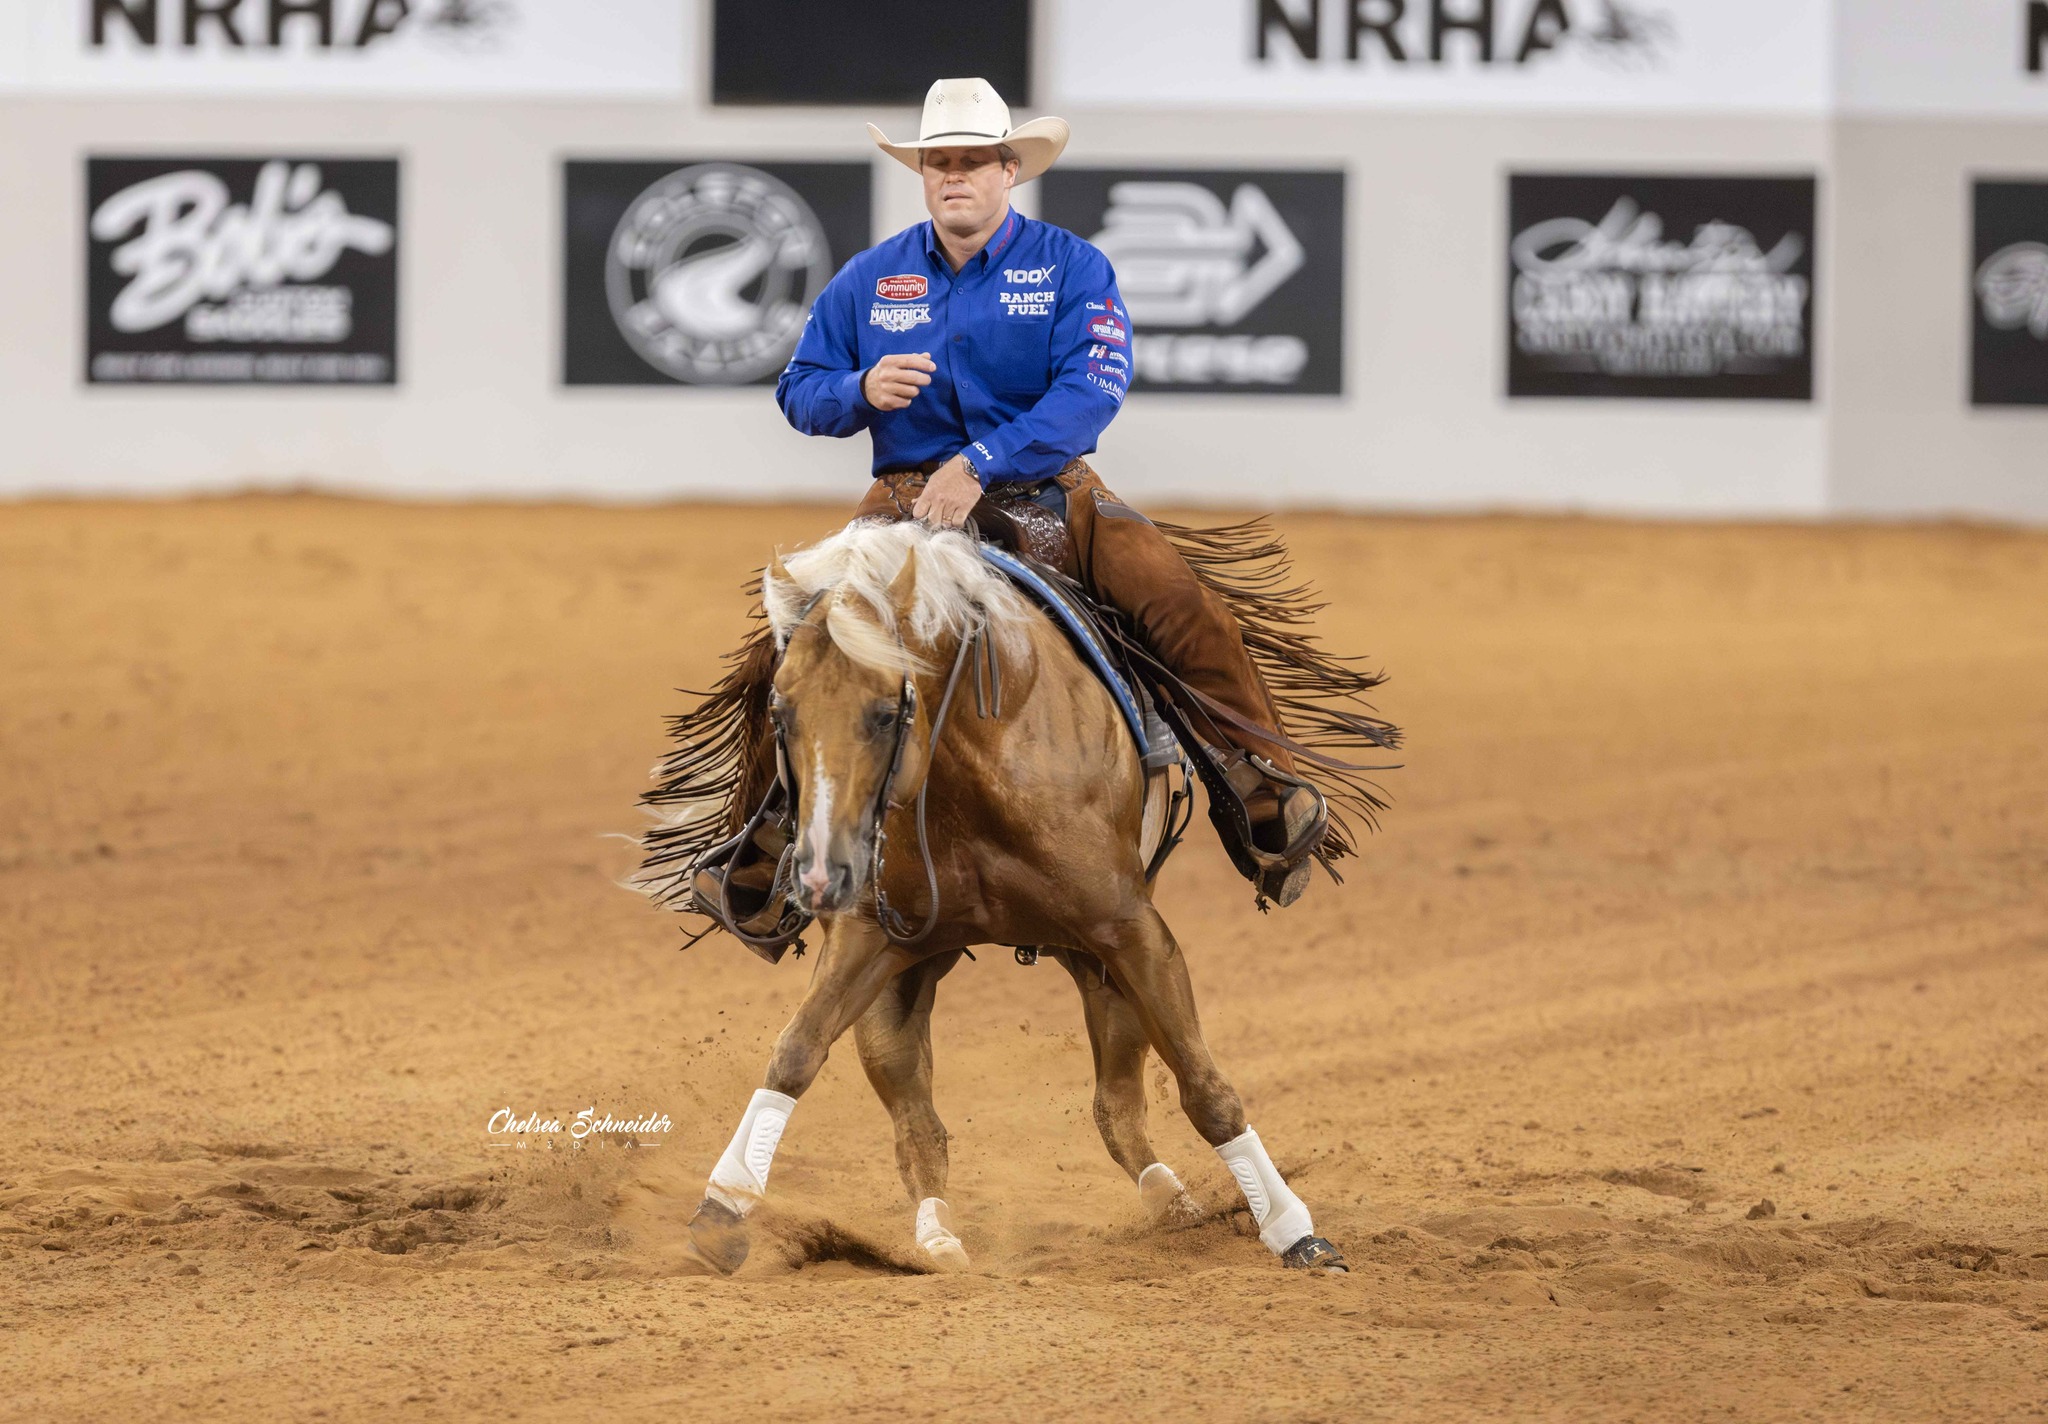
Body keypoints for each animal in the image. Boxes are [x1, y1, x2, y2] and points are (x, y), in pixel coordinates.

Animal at [638, 516, 1390, 1275]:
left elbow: (1206, 1089)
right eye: (781, 713)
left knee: (1117, 1104)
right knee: (926, 1121)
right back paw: (940, 1238)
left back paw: (1176, 1207)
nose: (822, 874)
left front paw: (1296, 1232)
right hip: (917, 977)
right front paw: (720, 1211)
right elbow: (795, 1051)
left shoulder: (1134, 928)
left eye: (884, 713)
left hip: (1101, 964)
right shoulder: (871, 937)